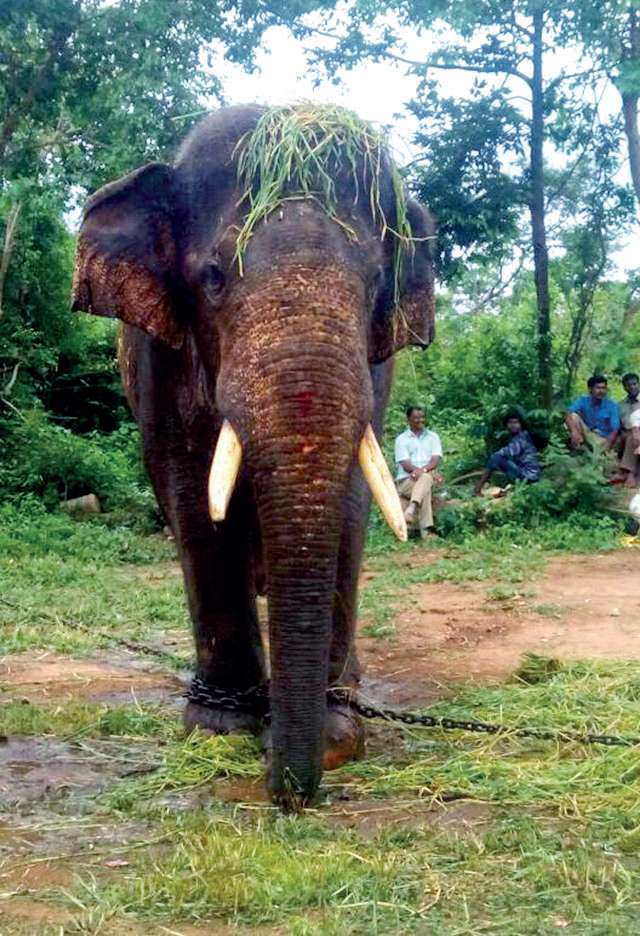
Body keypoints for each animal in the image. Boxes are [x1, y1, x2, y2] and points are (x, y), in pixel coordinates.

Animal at [72, 103, 435, 808]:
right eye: (213, 278)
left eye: (377, 282)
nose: (290, 798)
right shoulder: (160, 354)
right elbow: (191, 494)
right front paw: (220, 731)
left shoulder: (379, 367)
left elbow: (352, 497)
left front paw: (336, 734)